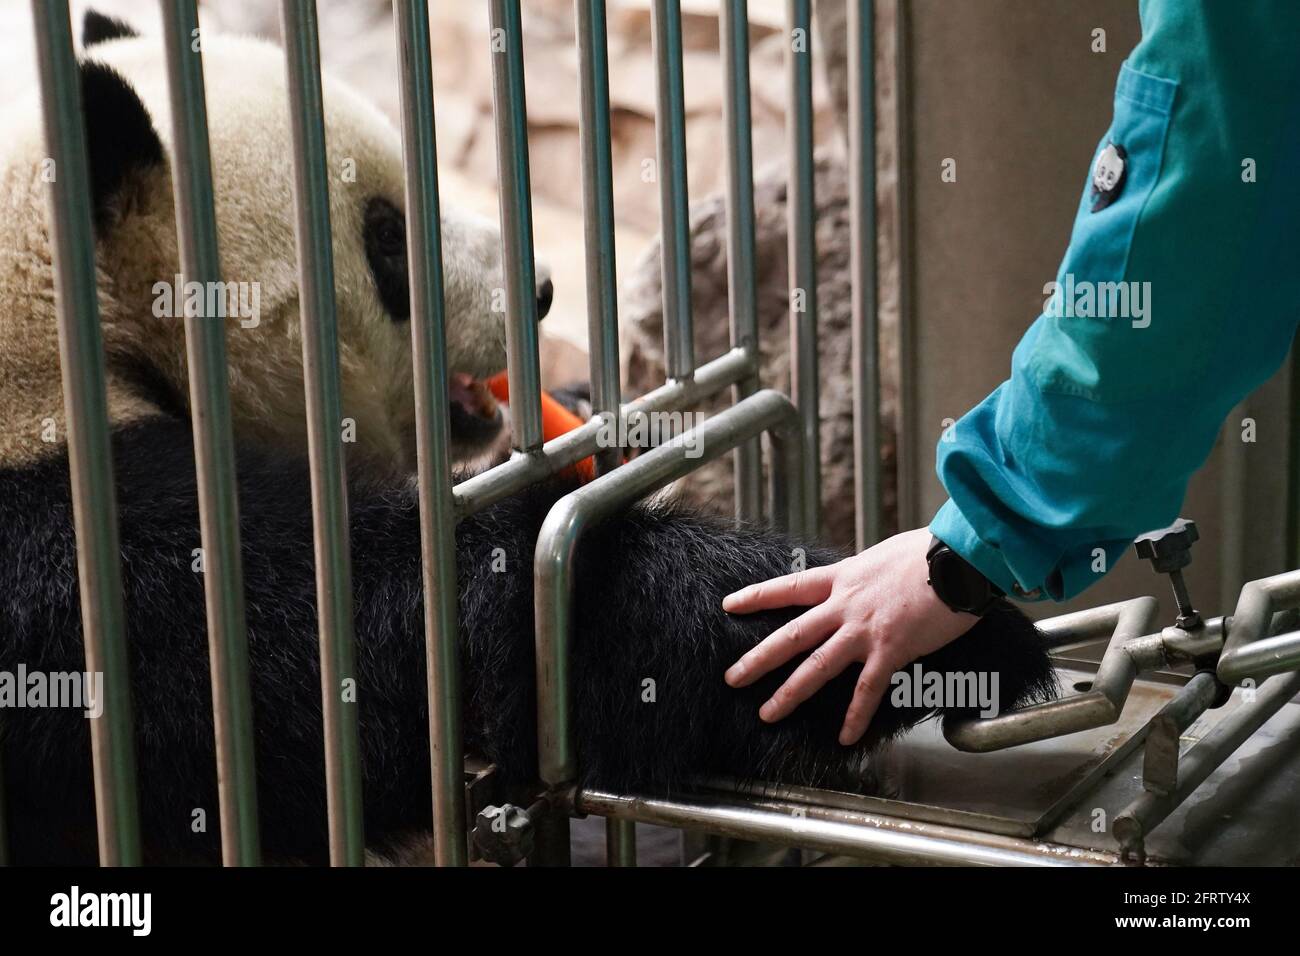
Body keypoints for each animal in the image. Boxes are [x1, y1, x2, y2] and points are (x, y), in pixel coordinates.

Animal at [0, 11, 1057, 865]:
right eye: (386, 237)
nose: (543, 290)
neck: (70, 315)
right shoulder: (85, 595)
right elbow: (379, 644)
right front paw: (873, 630)